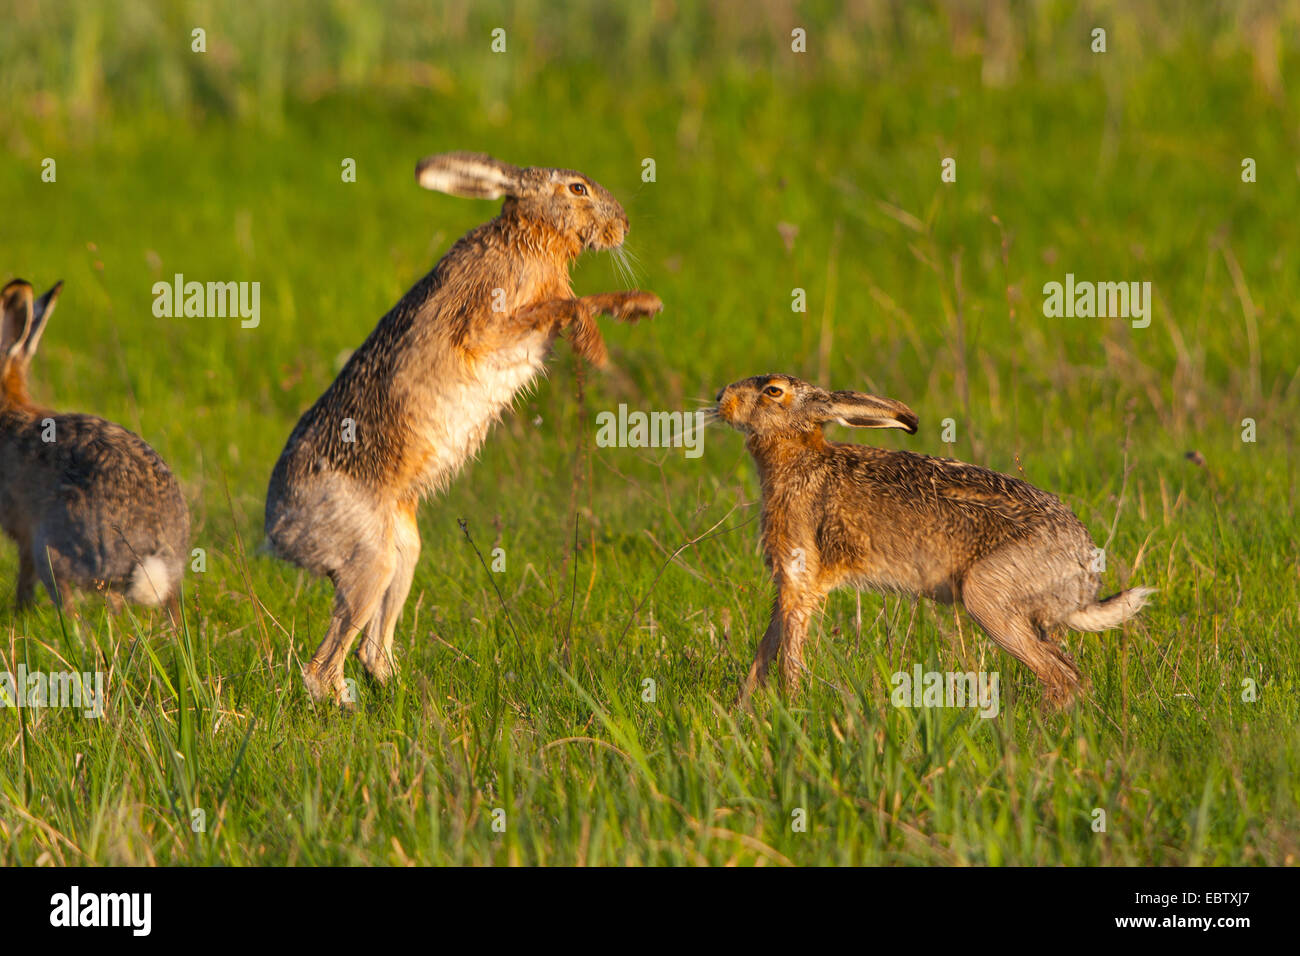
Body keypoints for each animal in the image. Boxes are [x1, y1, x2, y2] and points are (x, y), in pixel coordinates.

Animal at [266, 152, 662, 704]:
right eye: (577, 188)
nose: (622, 225)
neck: (530, 237)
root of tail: (278, 532)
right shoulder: (483, 323)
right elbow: (561, 305)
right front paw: (596, 343)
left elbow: (578, 301)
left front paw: (640, 304)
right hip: (369, 559)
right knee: (321, 668)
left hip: (403, 550)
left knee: (370, 650)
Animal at [713, 373, 1154, 707]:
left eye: (773, 390)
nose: (721, 398)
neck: (799, 452)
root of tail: (1085, 581)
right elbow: (767, 645)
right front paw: (743, 708)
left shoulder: (799, 575)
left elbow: (789, 643)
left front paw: (790, 704)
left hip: (989, 597)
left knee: (1060, 676)